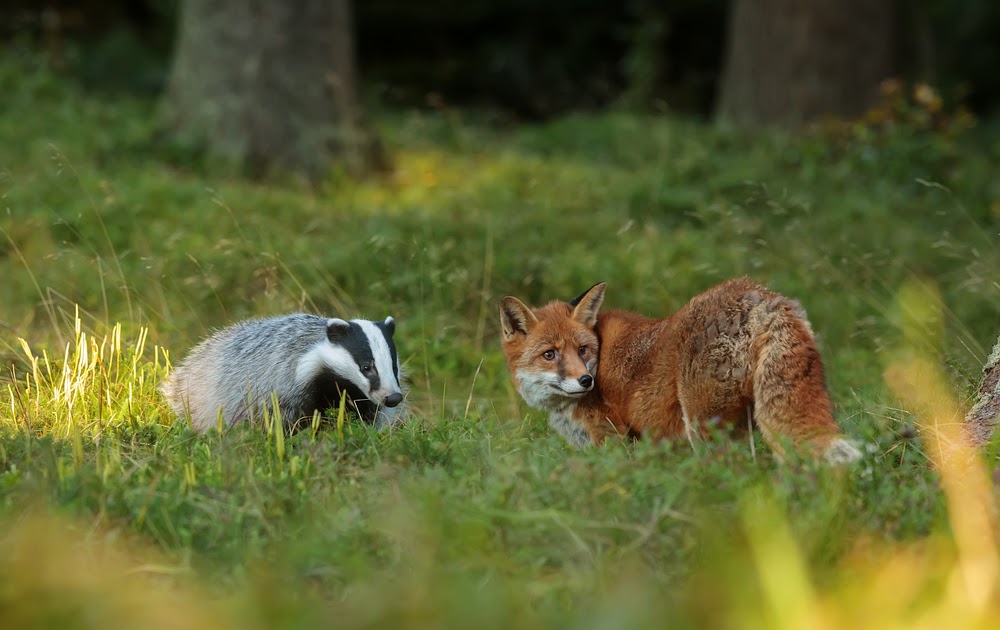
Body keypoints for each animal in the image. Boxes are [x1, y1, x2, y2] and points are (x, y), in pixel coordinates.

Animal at [499, 277, 861, 463]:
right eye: (549, 354)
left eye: (582, 350)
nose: (586, 380)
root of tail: (760, 295)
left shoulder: (611, 438)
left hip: (705, 428)